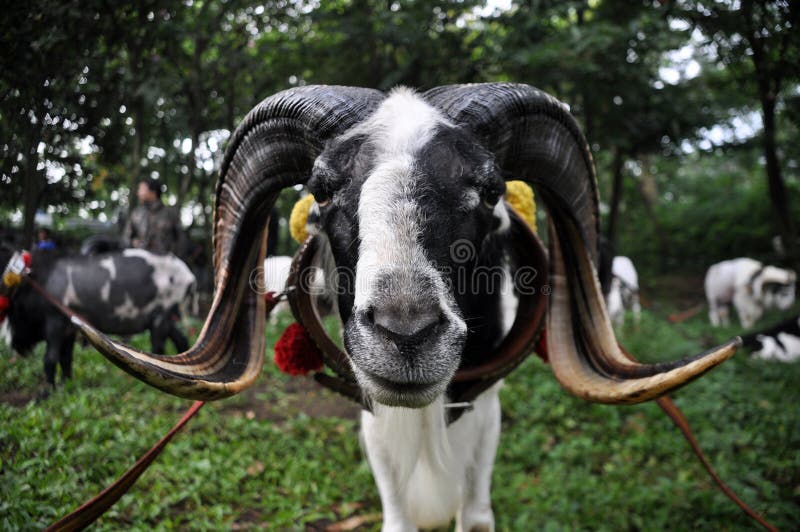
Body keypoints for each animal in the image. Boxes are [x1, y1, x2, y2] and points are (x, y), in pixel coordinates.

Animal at [0, 248, 196, 387]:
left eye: (12, 313)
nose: (12, 345)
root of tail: (189, 275)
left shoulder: (55, 321)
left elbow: (50, 358)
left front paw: (46, 393)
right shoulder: (69, 327)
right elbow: (66, 357)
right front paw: (65, 384)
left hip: (162, 312)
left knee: (158, 346)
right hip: (166, 315)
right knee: (180, 339)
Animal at [71, 84, 740, 529]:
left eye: (490, 190)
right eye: (321, 189)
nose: (406, 332)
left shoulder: (483, 411)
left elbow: (476, 511)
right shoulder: (375, 424)